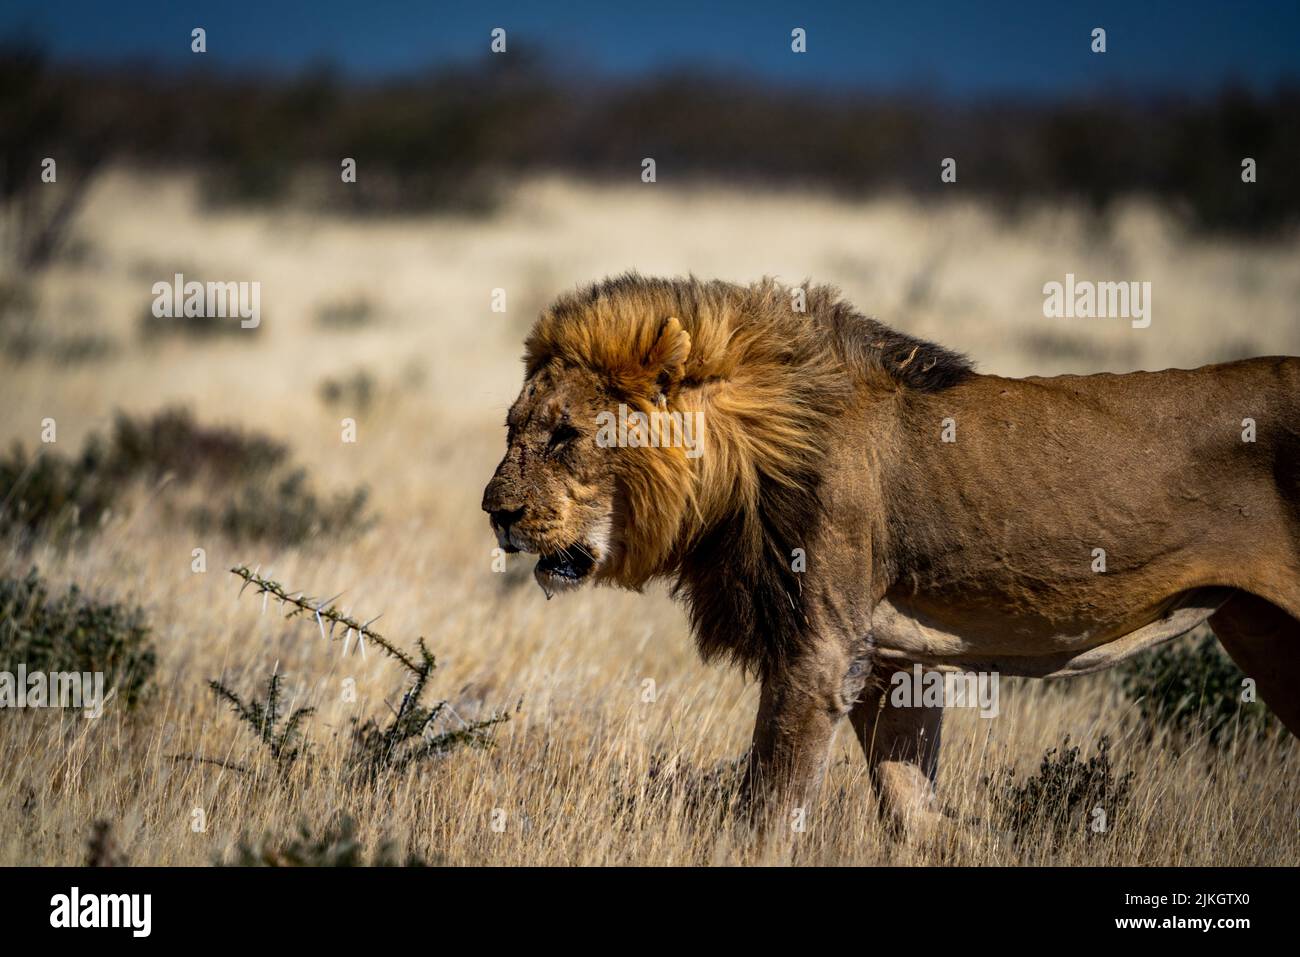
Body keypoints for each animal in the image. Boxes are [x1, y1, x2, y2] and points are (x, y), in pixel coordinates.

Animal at [482, 273, 1300, 836]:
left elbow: (765, 811)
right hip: (1262, 632)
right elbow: (913, 812)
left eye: (565, 434)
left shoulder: (820, 651)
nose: (495, 513)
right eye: (513, 425)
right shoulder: (890, 659)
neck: (751, 454)